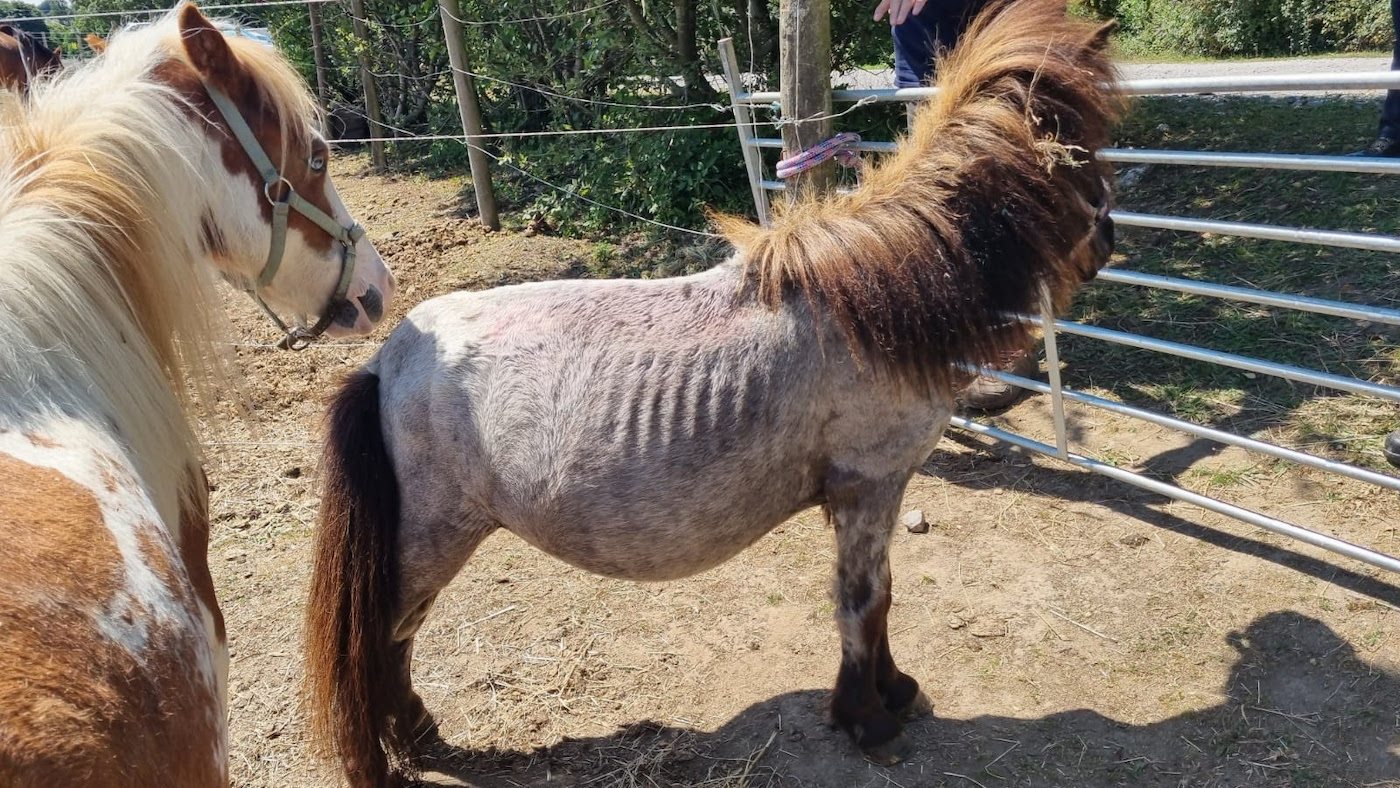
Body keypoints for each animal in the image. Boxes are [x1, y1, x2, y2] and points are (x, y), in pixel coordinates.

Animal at [304, 1, 1121, 784]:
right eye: (1084, 148)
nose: (1106, 241)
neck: (874, 296)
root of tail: (389, 360)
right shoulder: (869, 485)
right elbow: (865, 603)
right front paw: (870, 719)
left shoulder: (874, 493)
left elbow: (880, 598)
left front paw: (894, 692)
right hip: (432, 536)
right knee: (382, 637)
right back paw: (401, 747)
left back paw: (415, 737)